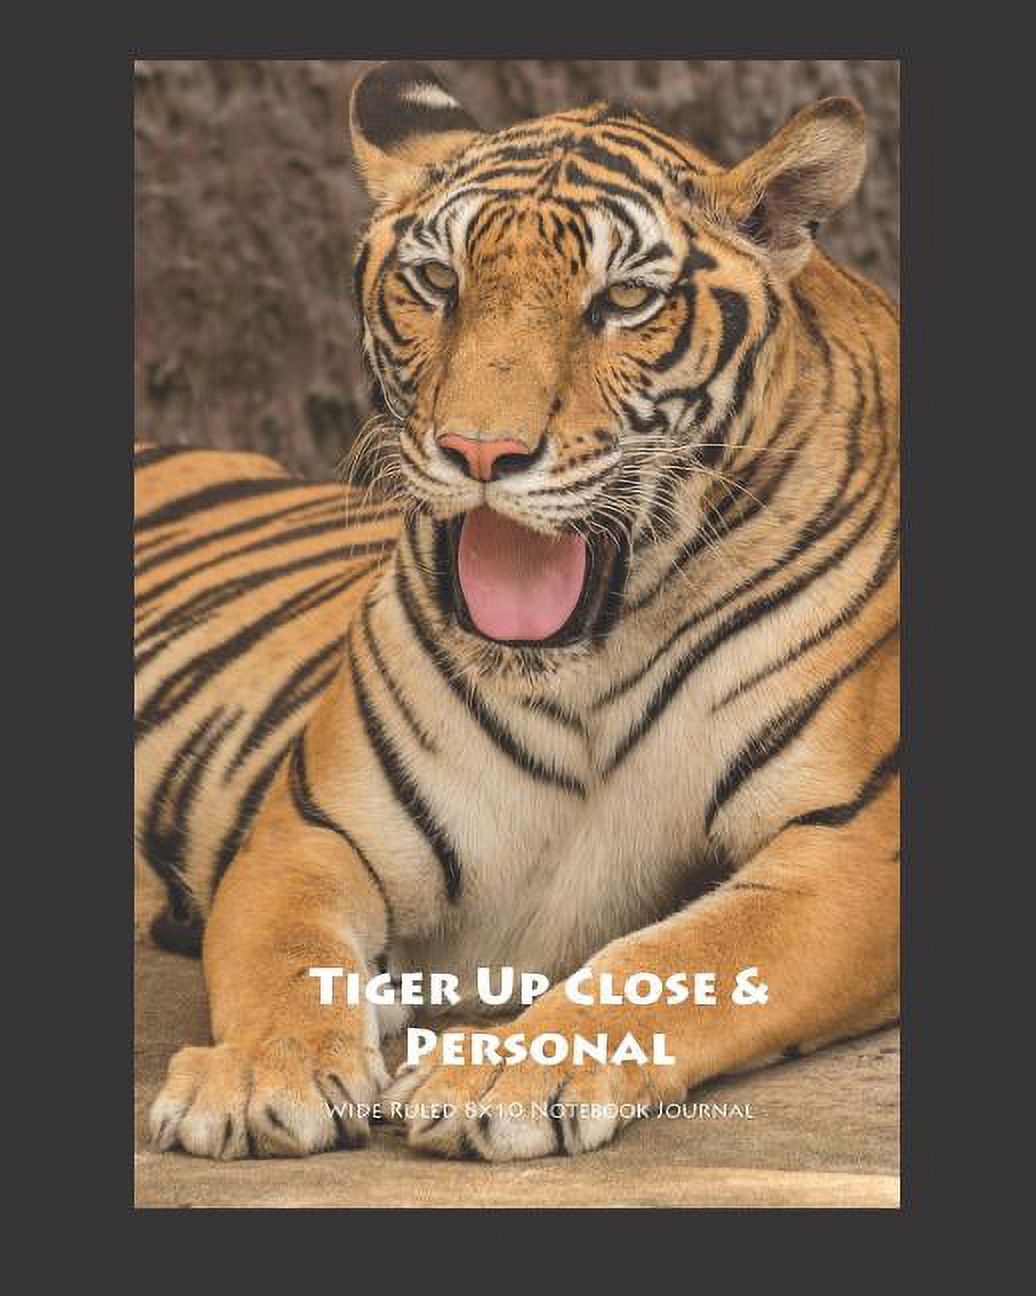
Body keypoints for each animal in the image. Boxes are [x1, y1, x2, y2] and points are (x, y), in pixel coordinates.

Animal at [143, 61, 899, 1163]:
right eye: (437, 284)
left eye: (623, 299)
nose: (481, 451)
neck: (588, 665)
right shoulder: (317, 827)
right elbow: (284, 953)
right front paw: (256, 1076)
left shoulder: (850, 851)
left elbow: (677, 959)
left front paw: (496, 1070)